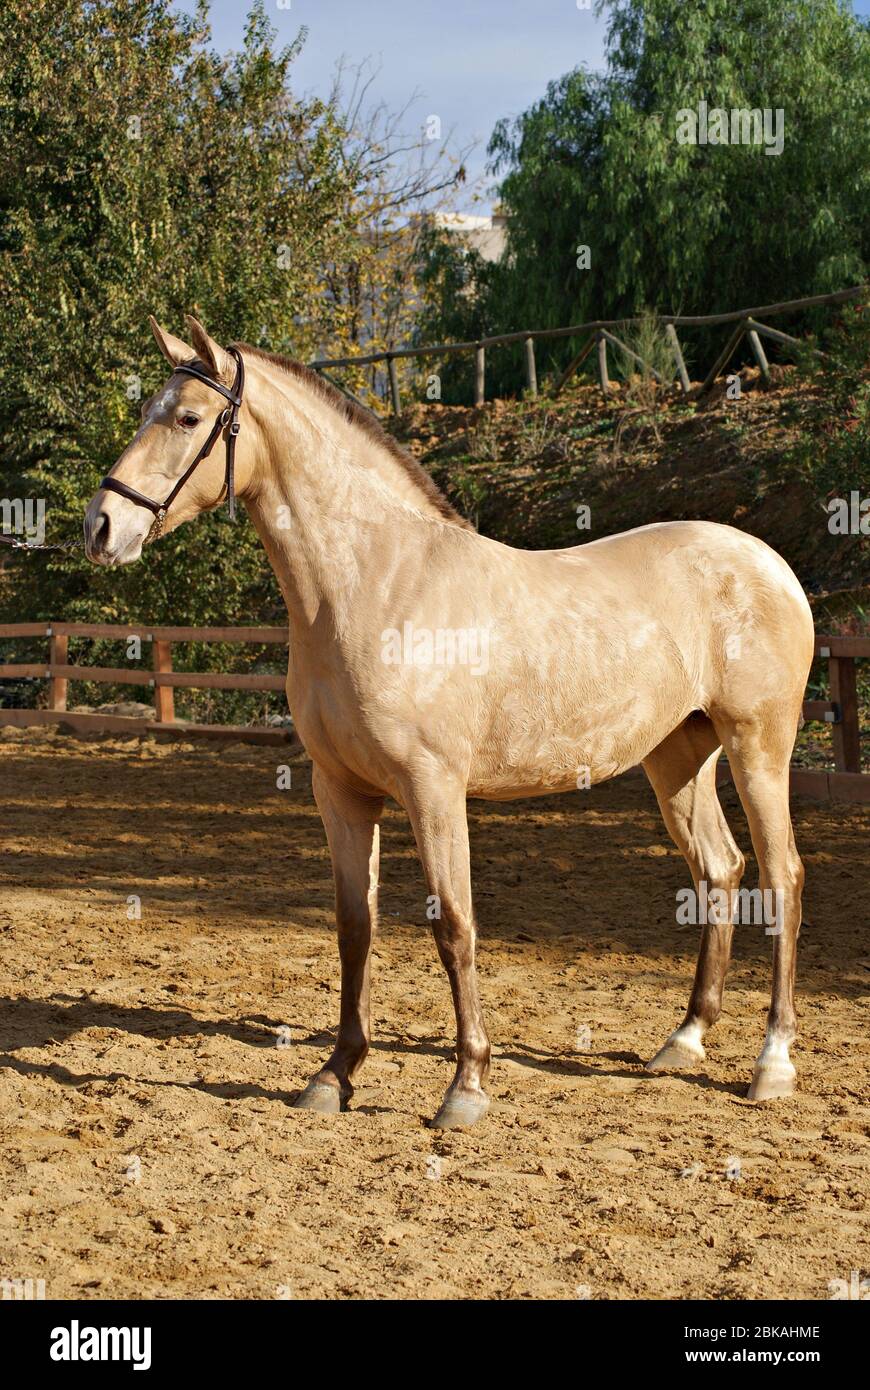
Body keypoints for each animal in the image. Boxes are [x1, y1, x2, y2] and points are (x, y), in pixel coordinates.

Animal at [83, 314, 814, 1128]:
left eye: (187, 418)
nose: (102, 526)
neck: (376, 583)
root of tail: (767, 562)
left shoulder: (432, 788)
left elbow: (453, 923)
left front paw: (466, 1086)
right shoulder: (340, 791)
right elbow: (355, 927)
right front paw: (334, 1075)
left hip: (758, 747)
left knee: (782, 875)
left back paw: (772, 1062)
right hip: (677, 757)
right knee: (719, 869)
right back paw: (684, 1040)